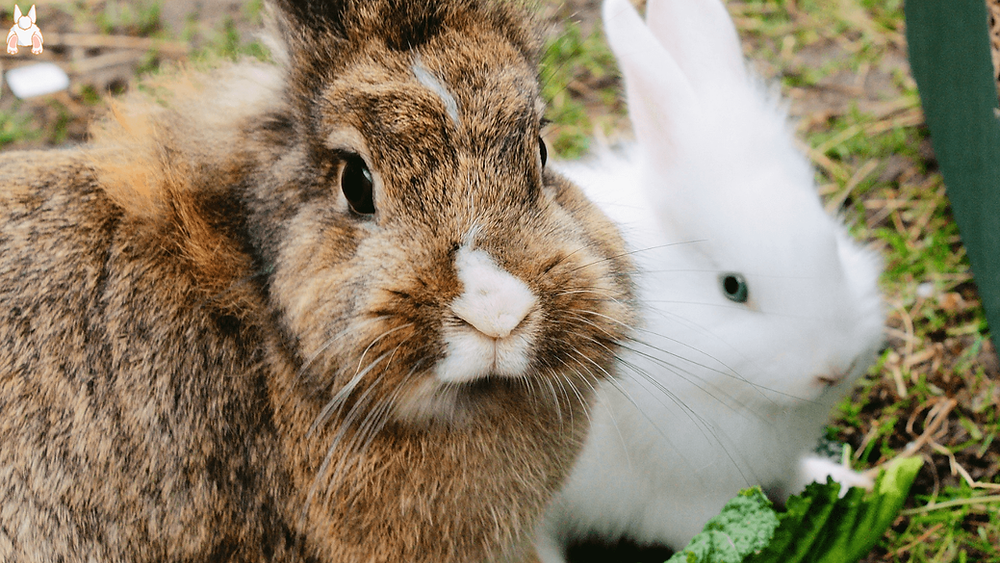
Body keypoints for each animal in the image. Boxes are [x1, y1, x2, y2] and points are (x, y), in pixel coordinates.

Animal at [534, 0, 885, 559]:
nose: (834, 367)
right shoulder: (680, 500)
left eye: (830, 245)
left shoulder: (774, 461)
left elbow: (796, 475)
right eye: (733, 288)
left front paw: (854, 484)